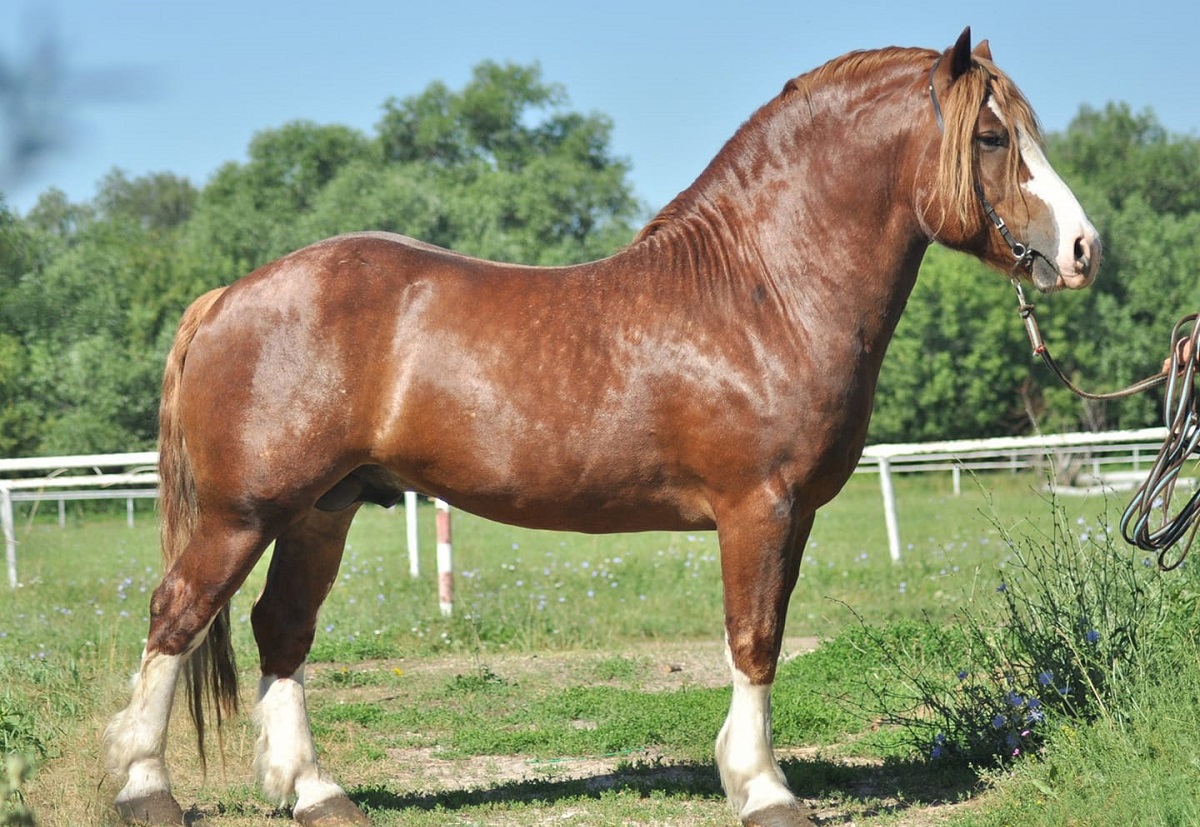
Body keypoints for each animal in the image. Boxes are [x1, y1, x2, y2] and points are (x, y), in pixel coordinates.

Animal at [105, 28, 1099, 827]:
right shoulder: (759, 509)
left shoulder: (794, 517)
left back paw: (317, 794)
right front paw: (764, 790)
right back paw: (147, 790)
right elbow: (755, 640)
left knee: (282, 629)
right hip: (243, 514)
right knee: (175, 614)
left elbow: (764, 635)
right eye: (991, 135)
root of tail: (228, 295)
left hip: (322, 509)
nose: (1085, 250)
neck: (762, 291)